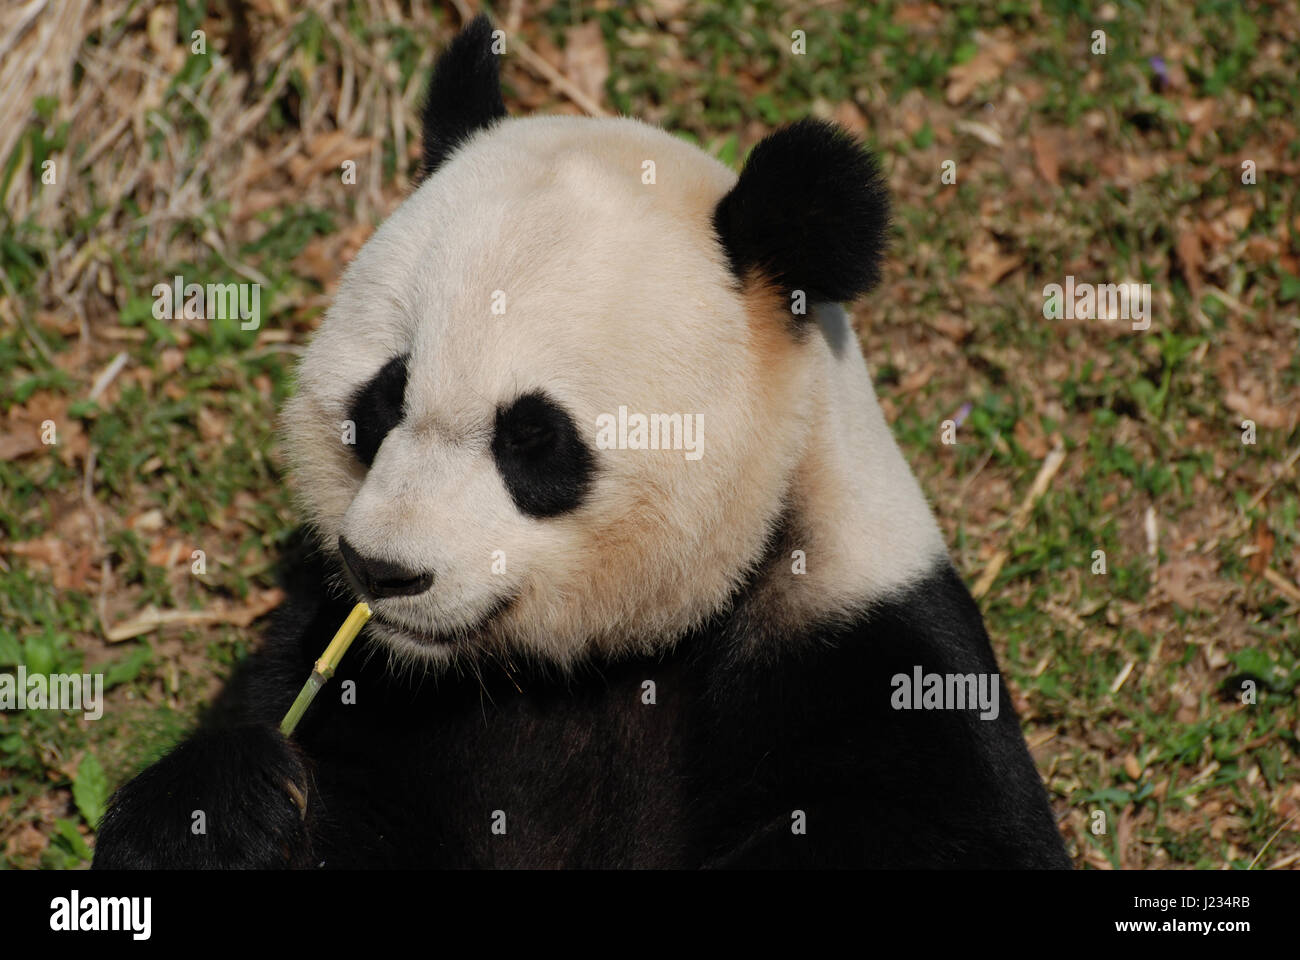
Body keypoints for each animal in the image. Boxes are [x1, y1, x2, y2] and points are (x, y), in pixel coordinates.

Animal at [93, 15, 1070, 870]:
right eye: (385, 398)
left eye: (532, 438)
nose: (385, 571)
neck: (578, 668)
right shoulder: (345, 659)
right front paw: (226, 808)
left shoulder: (868, 645)